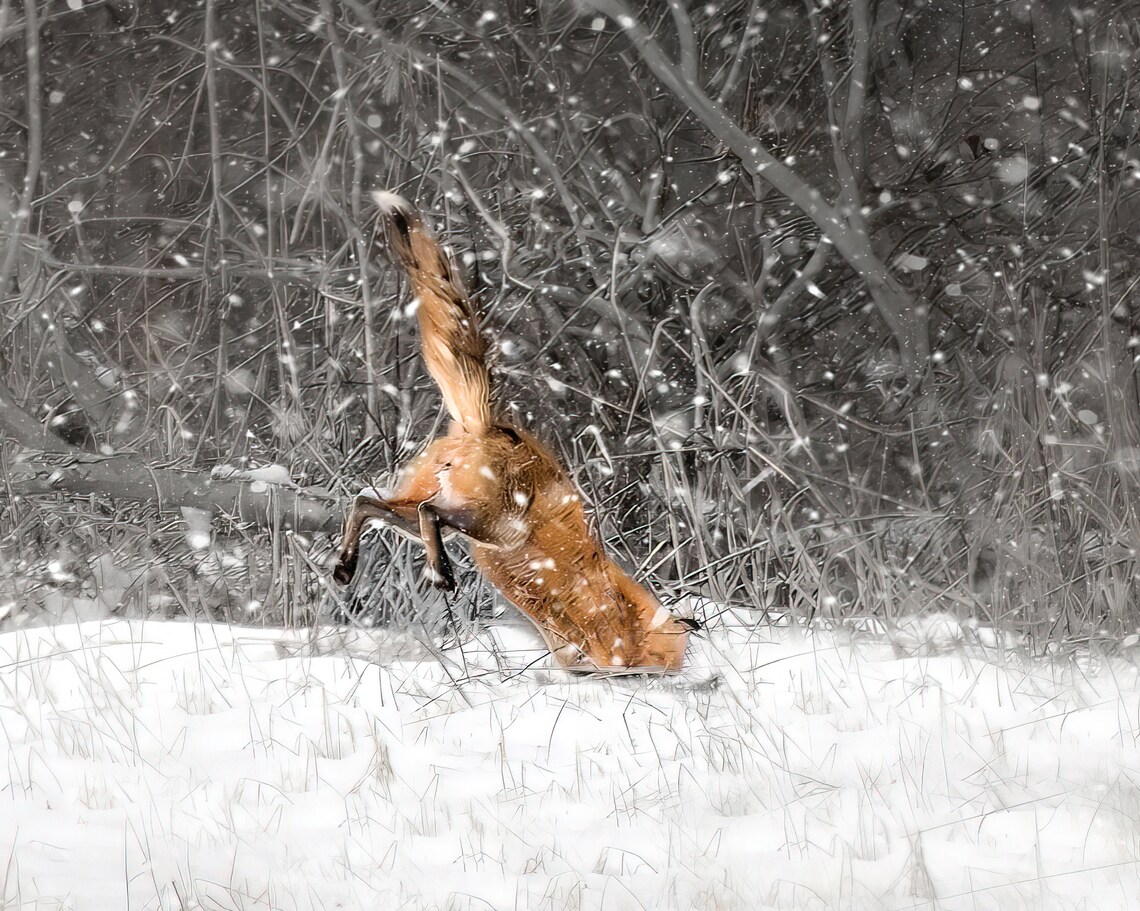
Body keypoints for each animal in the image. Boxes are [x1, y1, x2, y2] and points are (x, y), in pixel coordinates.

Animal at [333, 191, 692, 672]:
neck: (624, 617)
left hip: (430, 513)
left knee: (365, 502)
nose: (674, 670)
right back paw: (441, 574)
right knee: (429, 514)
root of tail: (486, 425)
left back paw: (347, 566)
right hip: (494, 526)